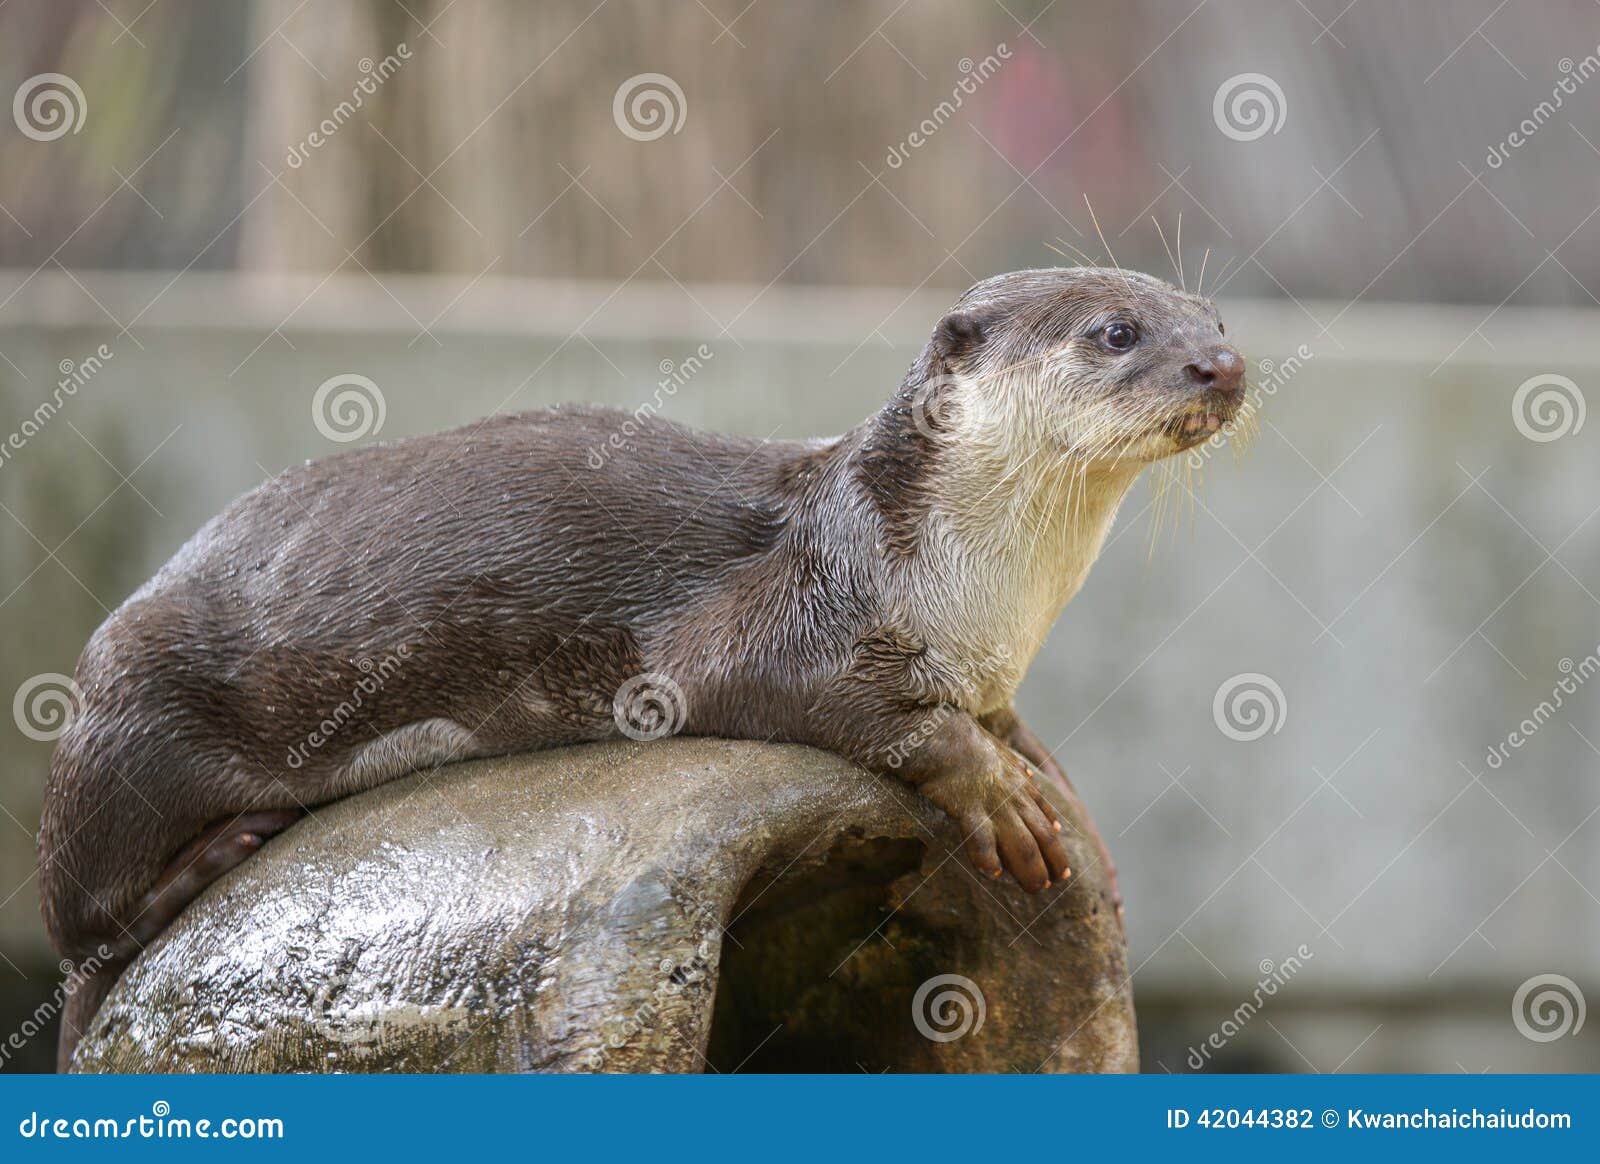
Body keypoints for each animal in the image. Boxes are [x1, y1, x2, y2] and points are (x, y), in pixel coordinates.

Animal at [39, 266, 1244, 1068]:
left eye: (1218, 317)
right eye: (1116, 330)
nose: (1224, 363)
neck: (973, 592)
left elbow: (1003, 719)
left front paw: (1059, 792)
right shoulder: (775, 621)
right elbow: (859, 706)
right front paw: (999, 792)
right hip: (121, 721)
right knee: (84, 930)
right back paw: (218, 851)